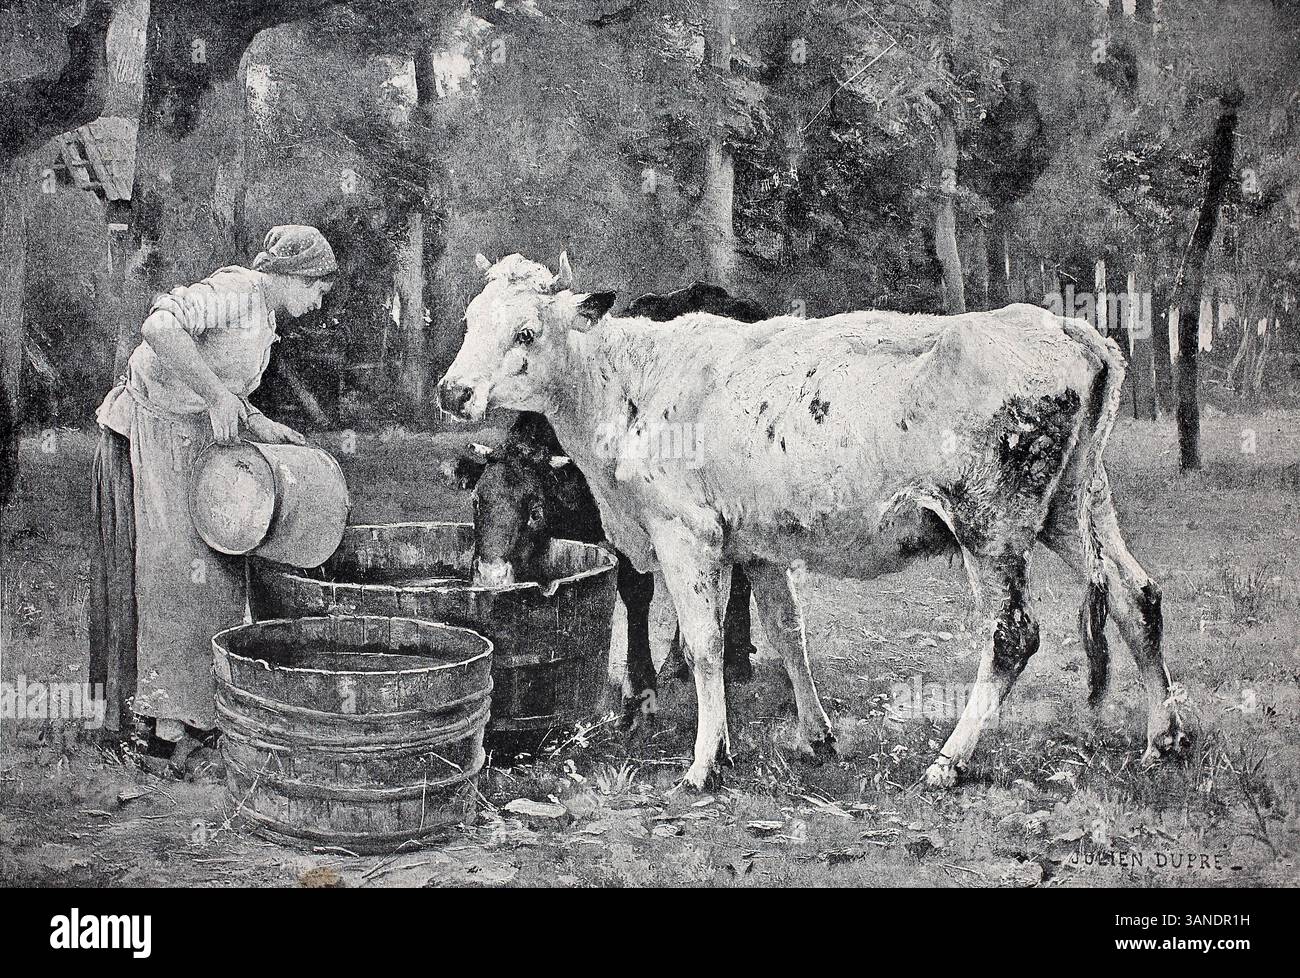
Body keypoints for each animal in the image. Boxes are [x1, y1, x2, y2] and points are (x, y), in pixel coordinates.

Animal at [444, 283, 770, 727]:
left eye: (534, 512)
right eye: (478, 502)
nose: (492, 577)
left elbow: (636, 593)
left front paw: (641, 692)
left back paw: (736, 661)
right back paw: (678, 661)